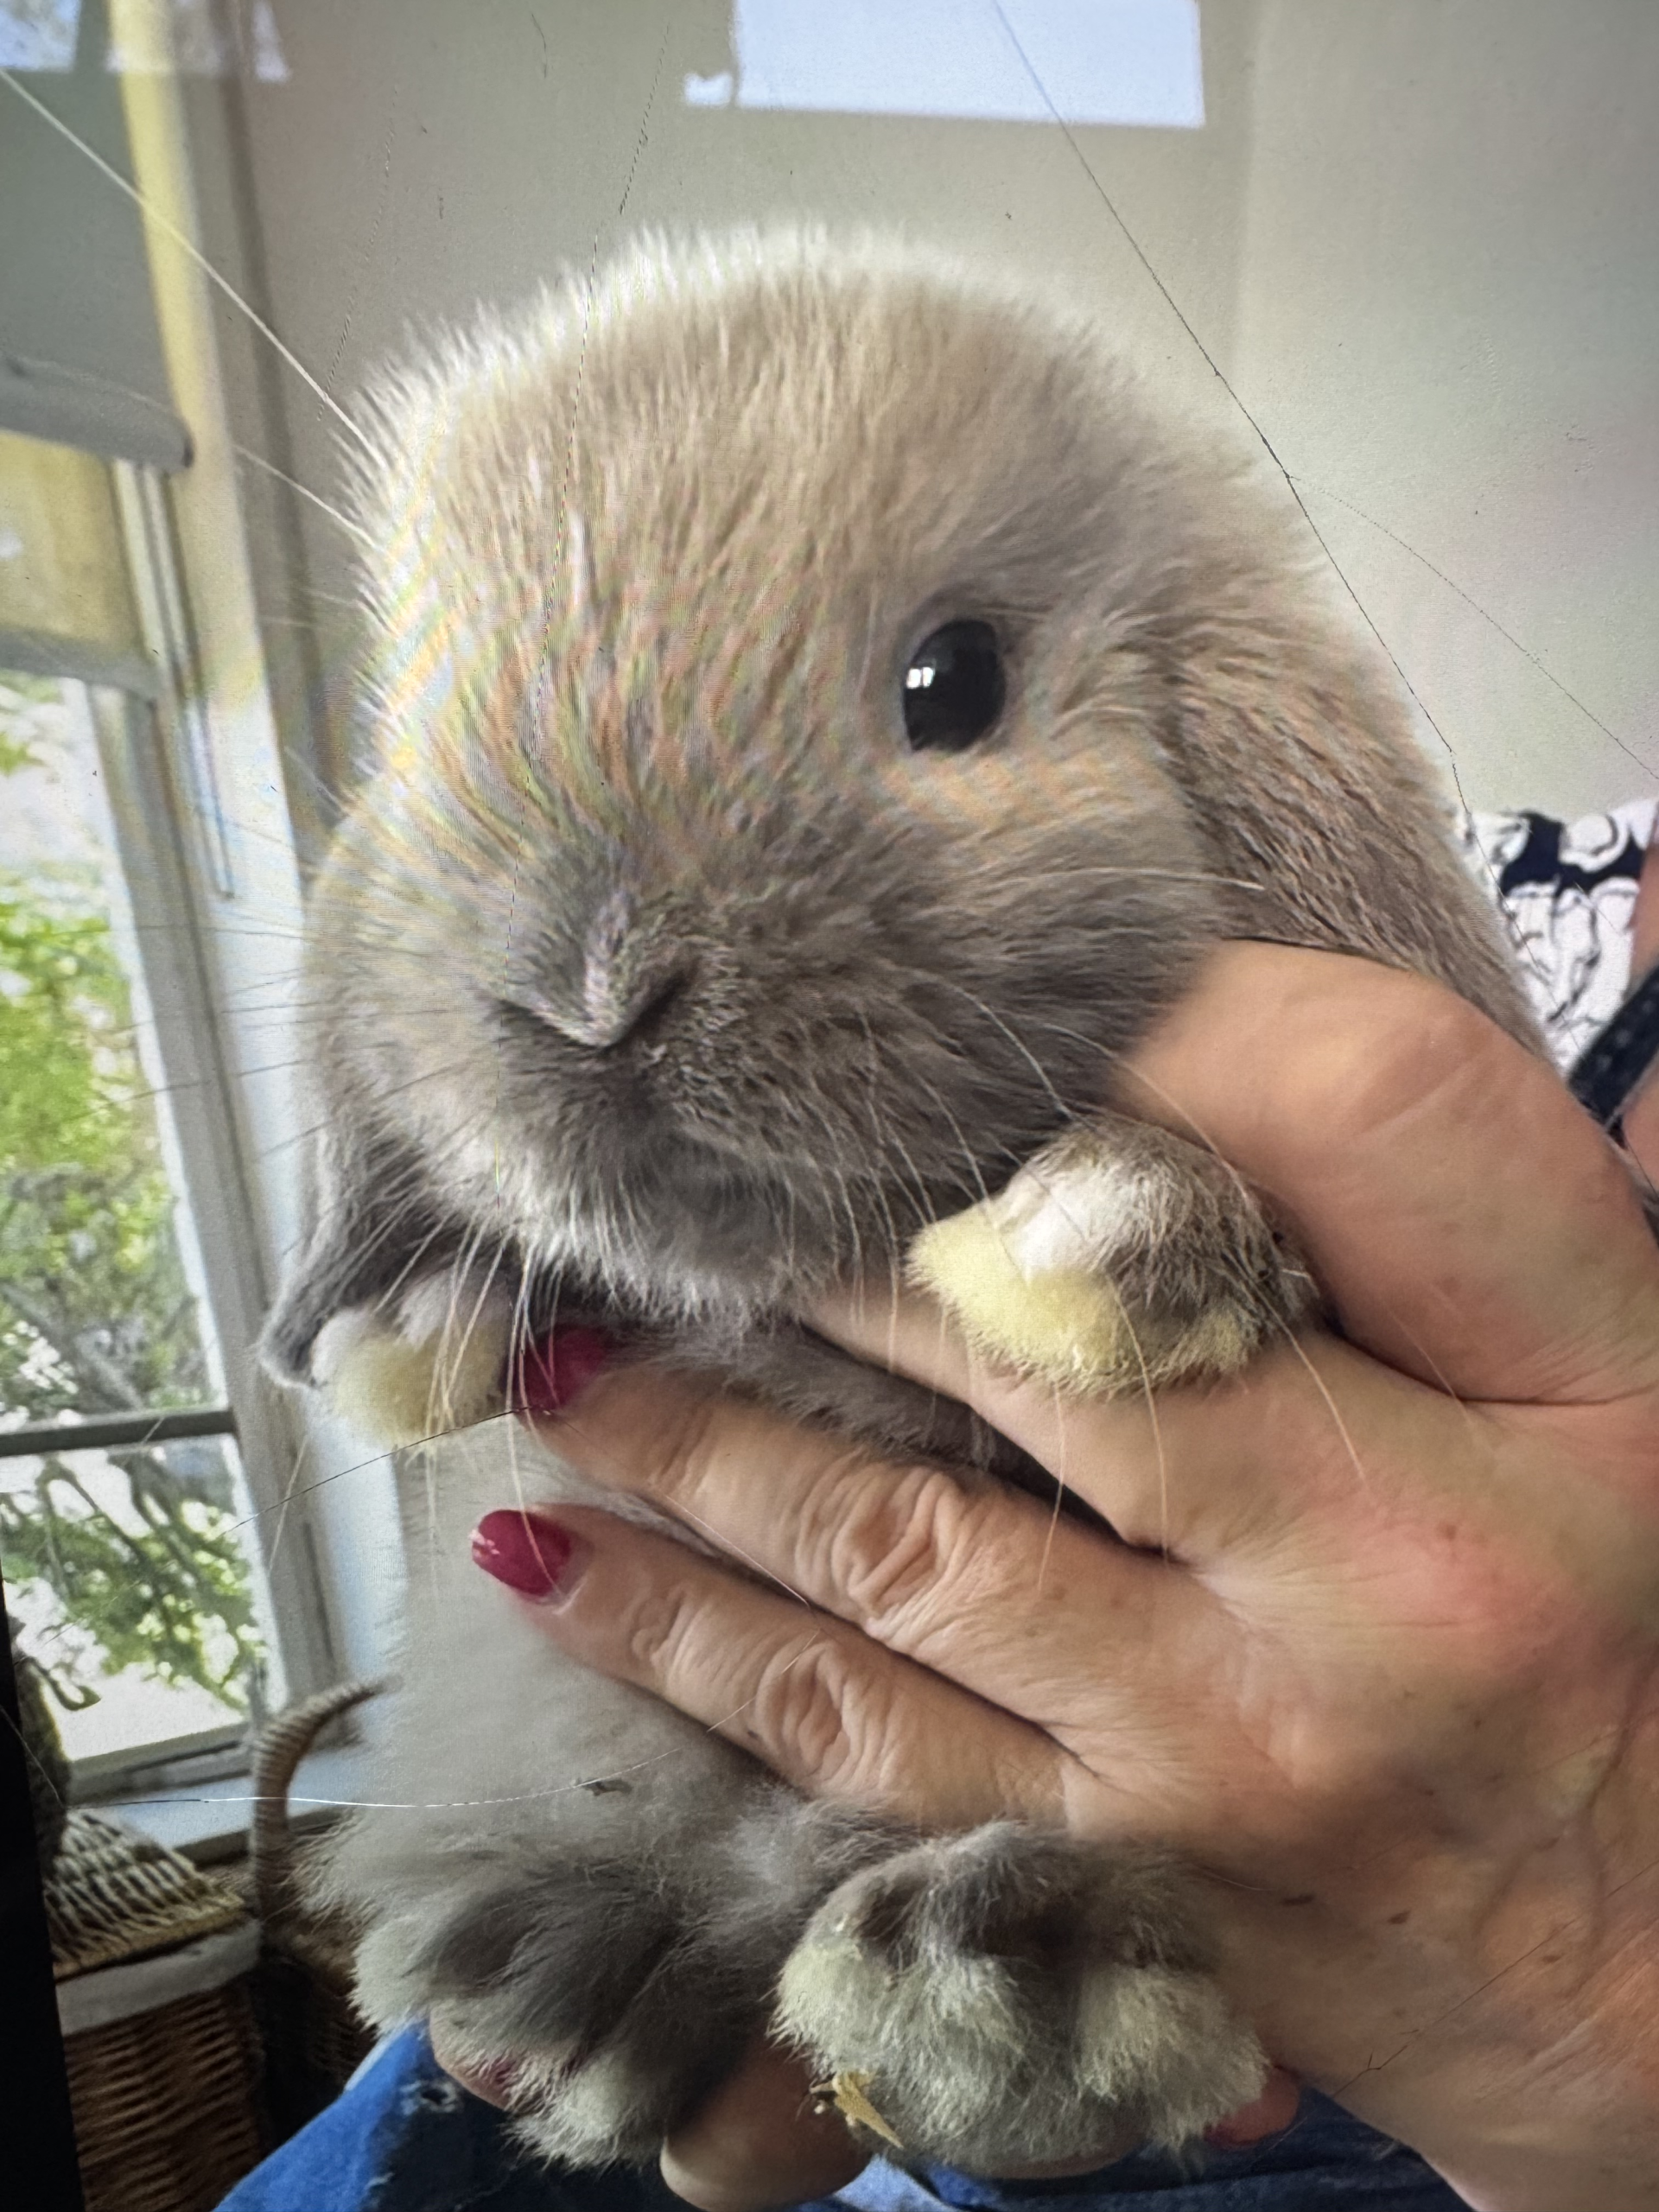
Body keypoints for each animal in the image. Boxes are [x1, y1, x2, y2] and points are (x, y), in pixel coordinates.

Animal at [261, 229, 1541, 2177]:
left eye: (956, 679)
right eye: (423, 724)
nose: (590, 993)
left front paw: (1073, 1247)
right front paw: (419, 1335)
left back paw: (1003, 1975)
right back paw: (576, 1974)